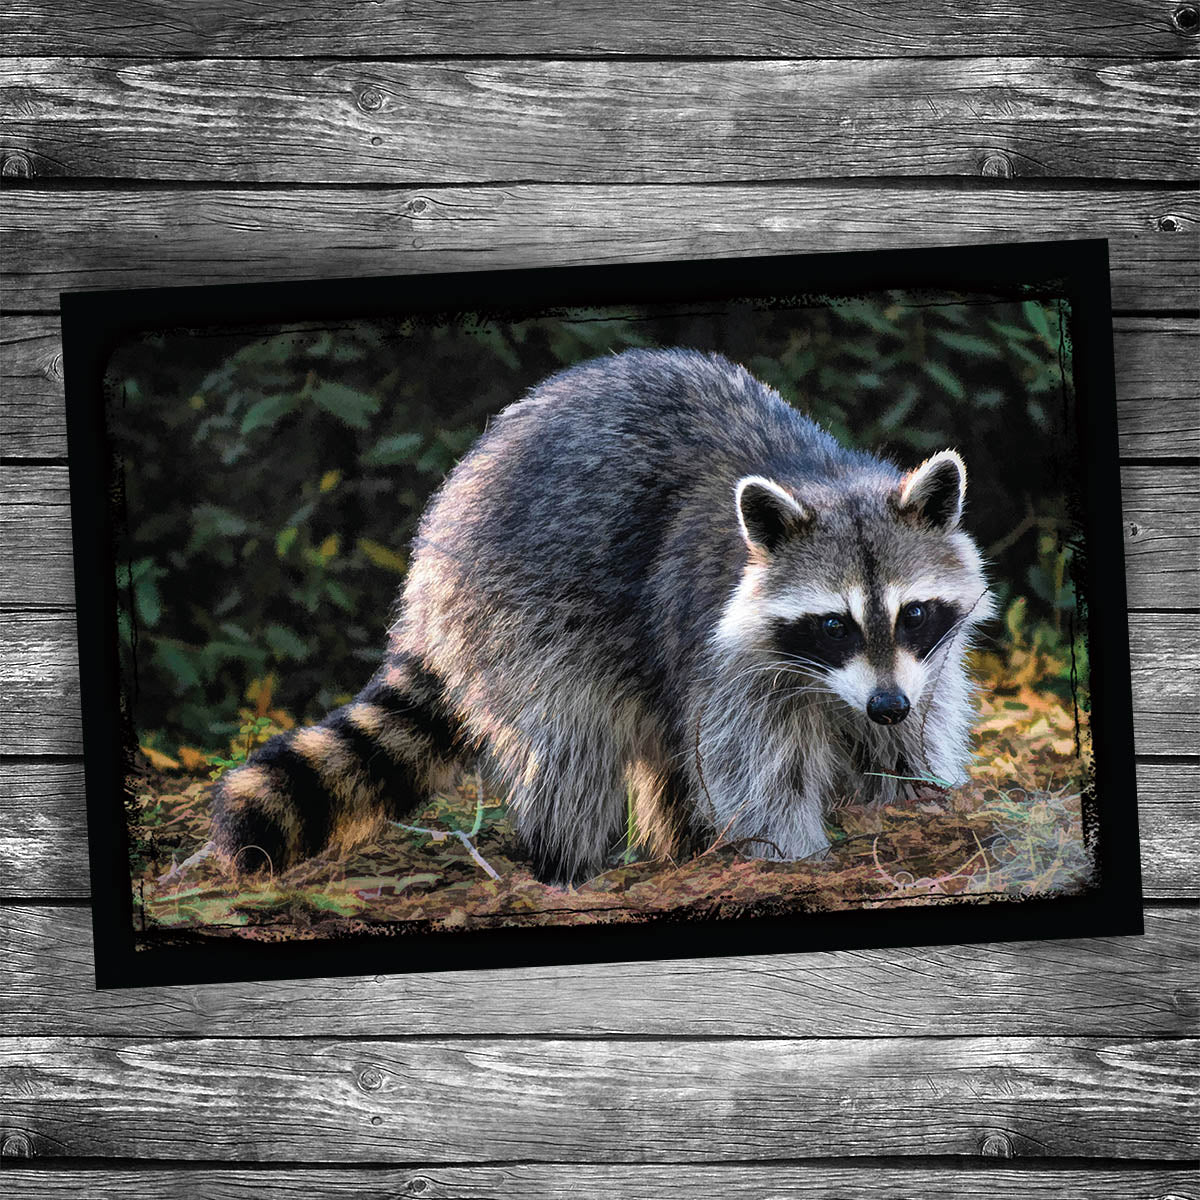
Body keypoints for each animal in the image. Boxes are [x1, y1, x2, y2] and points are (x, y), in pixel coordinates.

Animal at [210, 348, 993, 886]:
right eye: (834, 624)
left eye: (913, 613)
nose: (885, 705)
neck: (820, 476)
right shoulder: (721, 646)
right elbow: (756, 766)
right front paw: (791, 853)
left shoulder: (921, 666)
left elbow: (906, 741)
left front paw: (911, 811)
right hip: (521, 613)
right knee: (570, 746)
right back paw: (568, 864)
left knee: (666, 749)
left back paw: (678, 849)